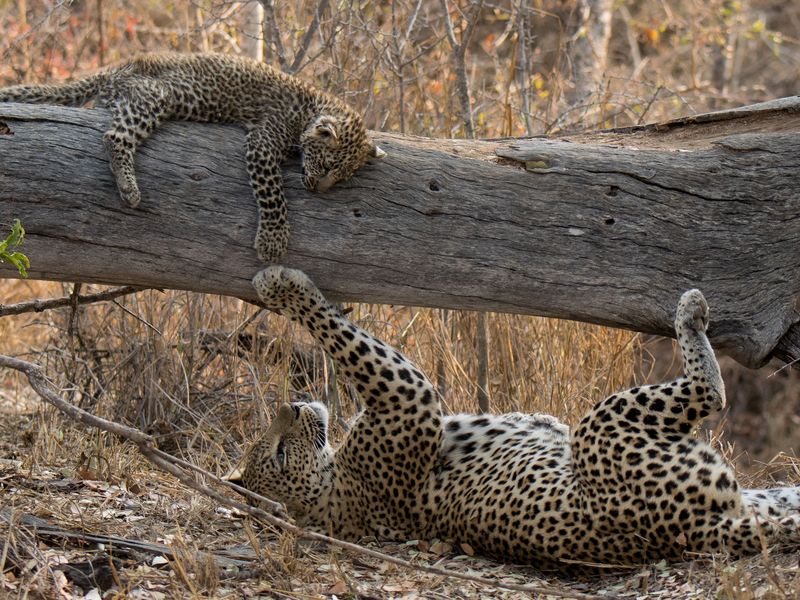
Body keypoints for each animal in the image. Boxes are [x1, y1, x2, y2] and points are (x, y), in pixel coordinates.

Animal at [0, 53, 385, 262]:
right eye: (328, 165)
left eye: (342, 177)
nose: (319, 190)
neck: (313, 107)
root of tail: (118, 66)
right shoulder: (262, 142)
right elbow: (273, 196)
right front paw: (273, 242)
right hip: (158, 94)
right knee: (114, 137)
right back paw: (129, 189)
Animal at [229, 265, 800, 569]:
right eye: (279, 454)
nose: (291, 407)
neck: (336, 498)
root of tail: (691, 532)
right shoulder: (405, 394)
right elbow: (336, 330)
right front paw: (278, 283)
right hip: (608, 420)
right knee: (711, 391)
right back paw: (691, 307)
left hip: (760, 498)